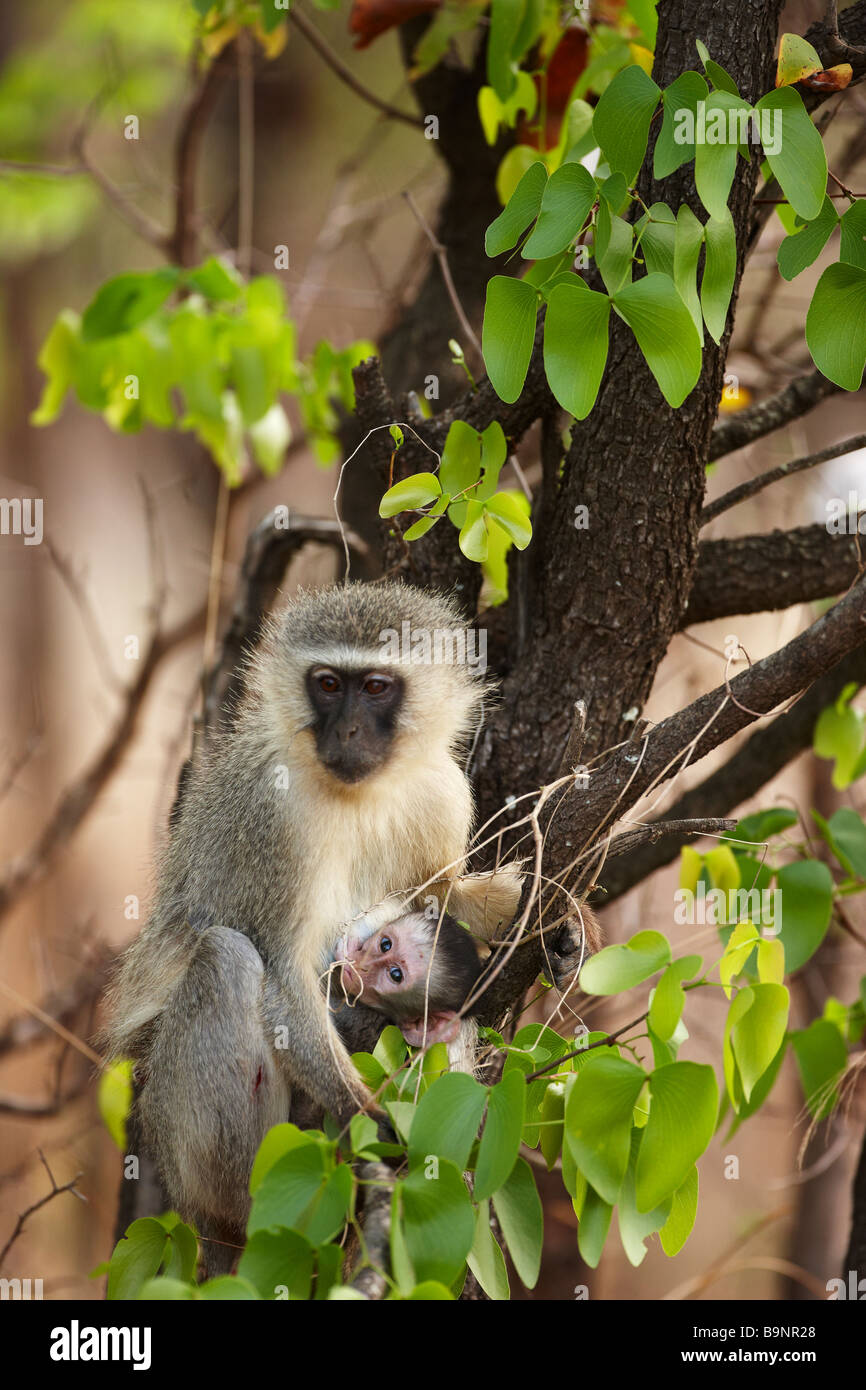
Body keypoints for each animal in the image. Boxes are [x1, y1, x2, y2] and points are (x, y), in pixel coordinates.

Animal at [104, 581, 525, 1273]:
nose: (347, 728)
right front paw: (373, 1119)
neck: (361, 793)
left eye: (376, 687)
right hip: (180, 1138)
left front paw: (559, 926)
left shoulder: (442, 791)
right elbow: (282, 979)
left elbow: (442, 898)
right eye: (327, 684)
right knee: (228, 957)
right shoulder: (274, 820)